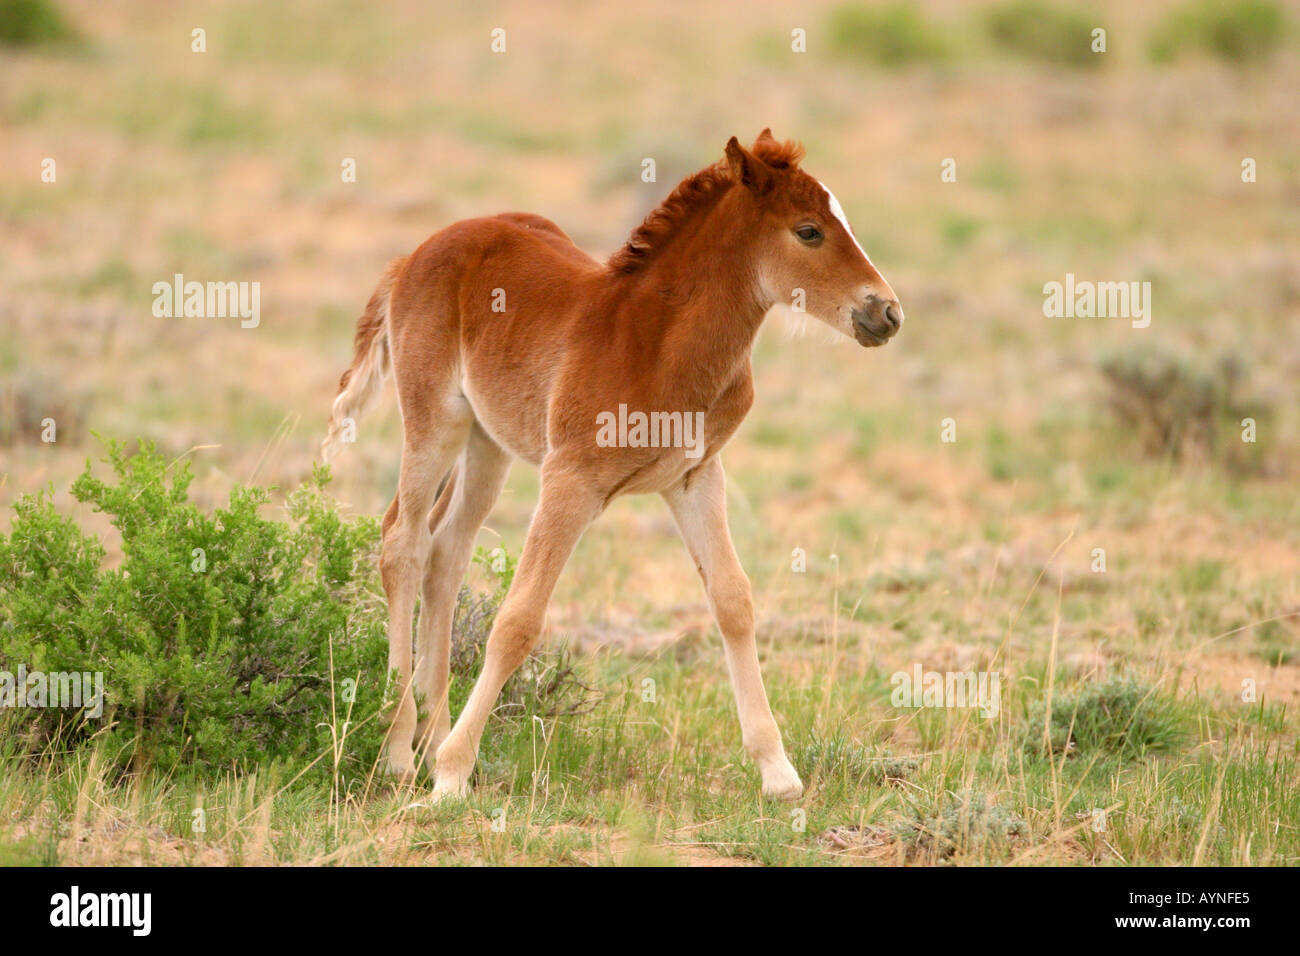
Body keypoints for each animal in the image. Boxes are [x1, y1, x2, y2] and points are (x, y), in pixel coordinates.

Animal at [322, 129, 902, 801]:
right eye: (809, 231)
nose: (887, 313)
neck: (662, 342)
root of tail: (413, 254)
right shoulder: (570, 480)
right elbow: (518, 621)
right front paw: (451, 776)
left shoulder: (695, 476)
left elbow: (733, 601)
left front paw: (777, 772)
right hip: (434, 420)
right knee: (403, 543)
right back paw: (398, 751)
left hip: (488, 442)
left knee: (446, 552)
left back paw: (429, 735)